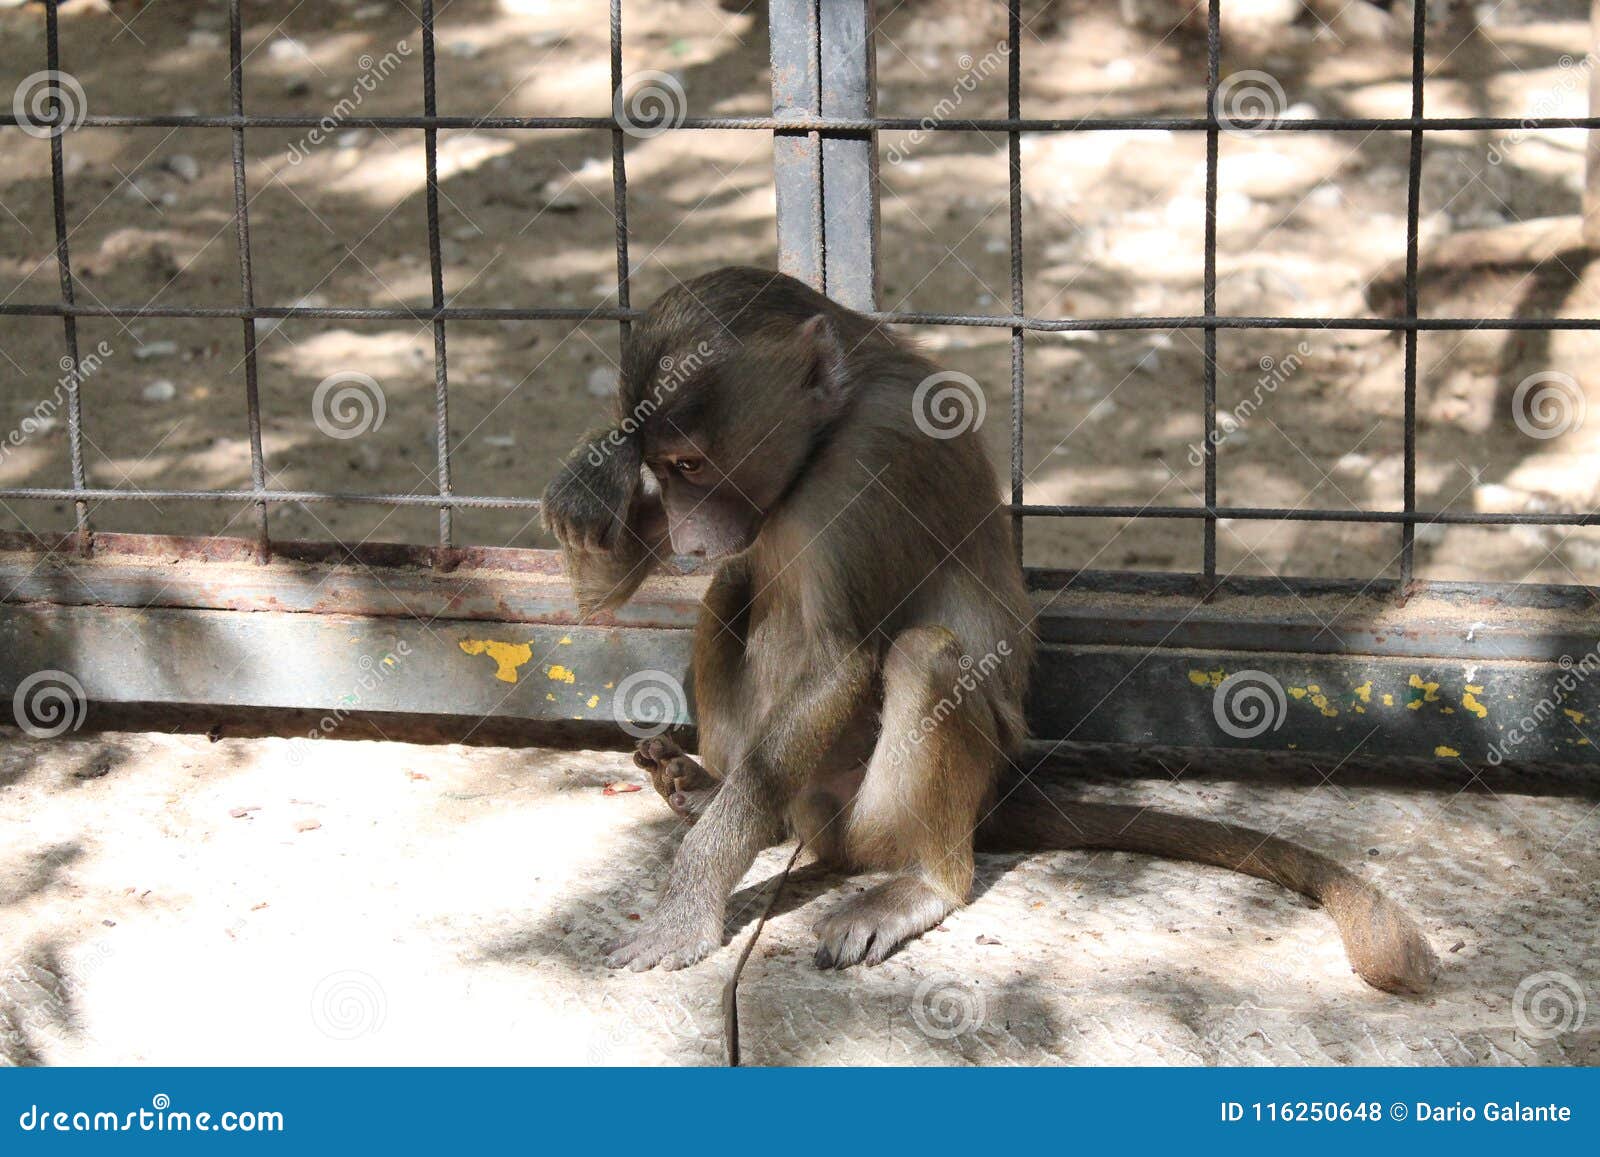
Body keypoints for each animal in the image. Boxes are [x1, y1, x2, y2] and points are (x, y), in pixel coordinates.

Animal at [542, 266, 1437, 994]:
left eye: (691, 464)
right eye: (664, 470)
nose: (689, 538)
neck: (829, 428)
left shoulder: (873, 458)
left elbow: (841, 662)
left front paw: (691, 896)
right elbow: (612, 593)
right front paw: (594, 479)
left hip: (866, 812)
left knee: (923, 658)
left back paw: (925, 882)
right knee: (735, 585)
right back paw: (714, 787)